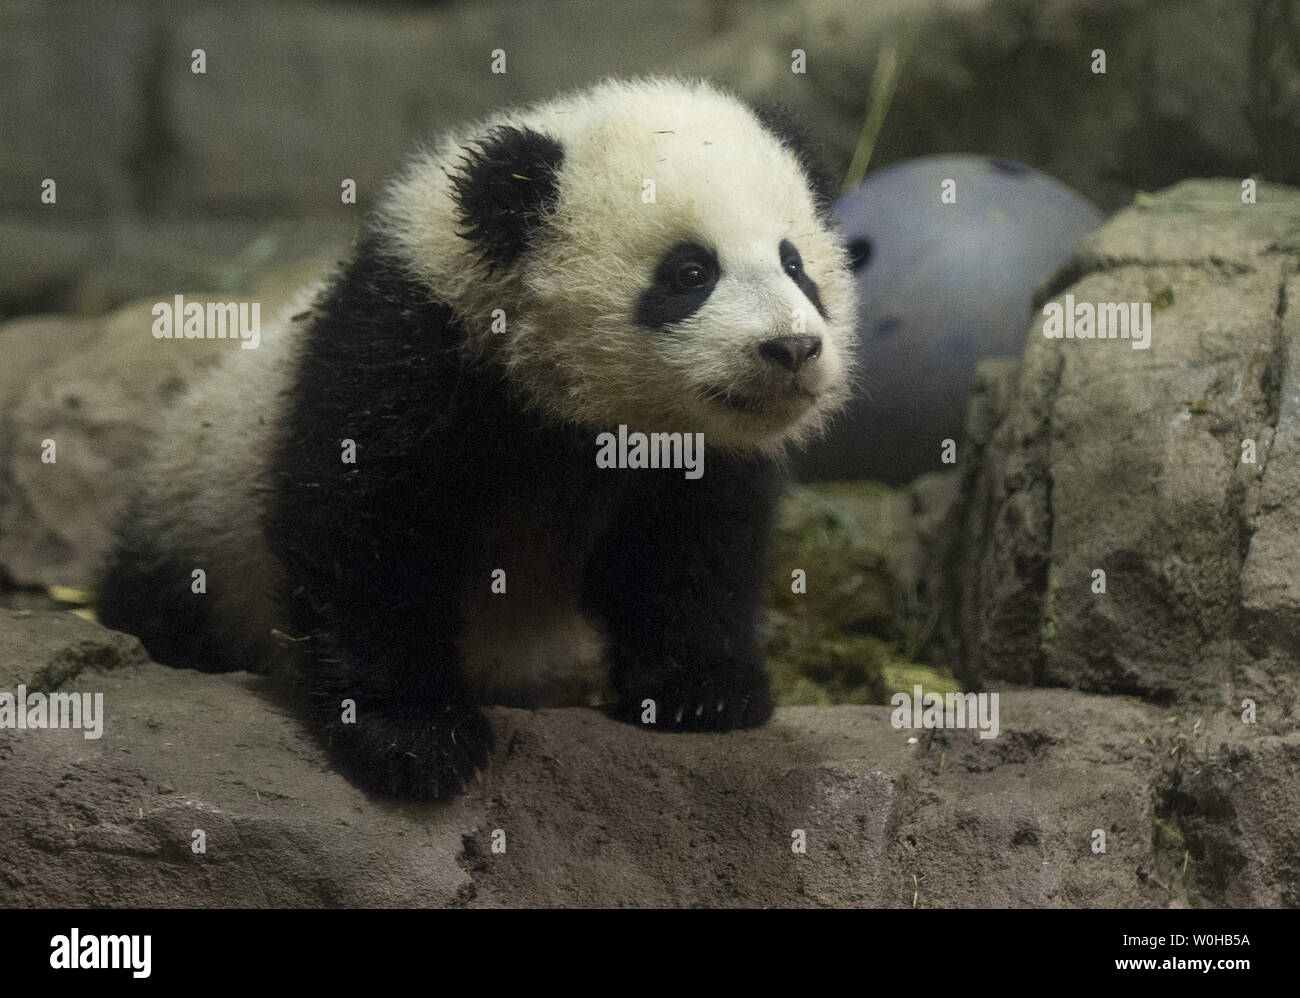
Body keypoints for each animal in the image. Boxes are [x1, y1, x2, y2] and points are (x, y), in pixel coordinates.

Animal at [97, 77, 857, 799]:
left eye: (795, 264)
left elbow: (690, 549)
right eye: (690, 272)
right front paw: (417, 740)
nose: (792, 349)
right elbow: (369, 532)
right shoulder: (408, 346)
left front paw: (704, 693)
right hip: (196, 529)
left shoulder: (691, 454)